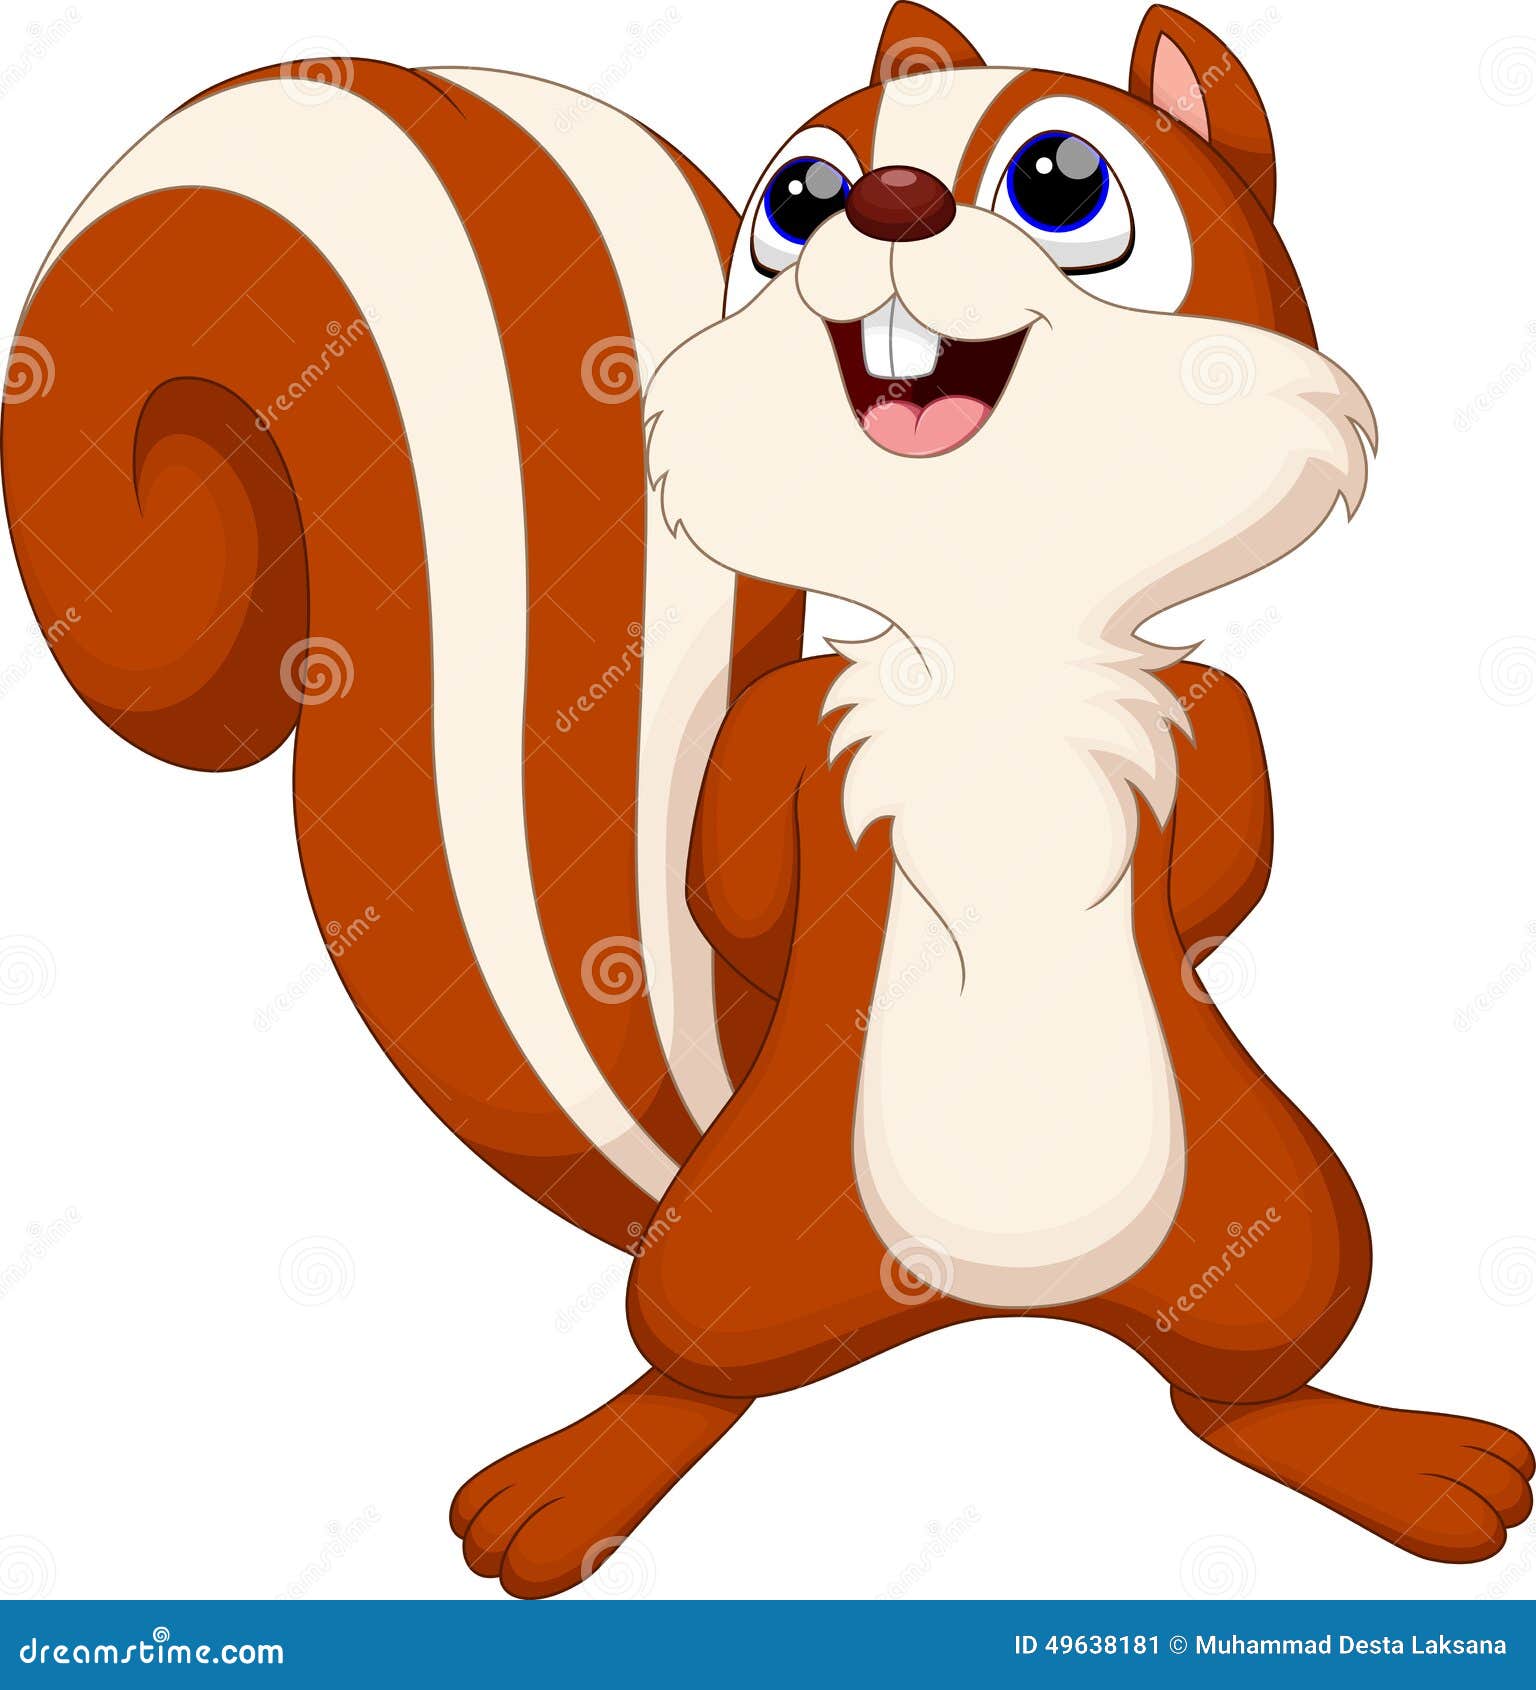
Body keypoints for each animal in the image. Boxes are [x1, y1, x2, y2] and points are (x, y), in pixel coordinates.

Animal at [5, 4, 1530, 1598]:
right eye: (799, 195)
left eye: (1062, 179)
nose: (889, 203)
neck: (990, 634)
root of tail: (984, 1303)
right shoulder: (791, 734)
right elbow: (735, 886)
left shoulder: (1214, 715)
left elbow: (1223, 864)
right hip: (735, 1251)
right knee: (700, 1370)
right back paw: (574, 1482)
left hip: (1273, 1227)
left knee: (1235, 1395)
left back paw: (1403, 1460)